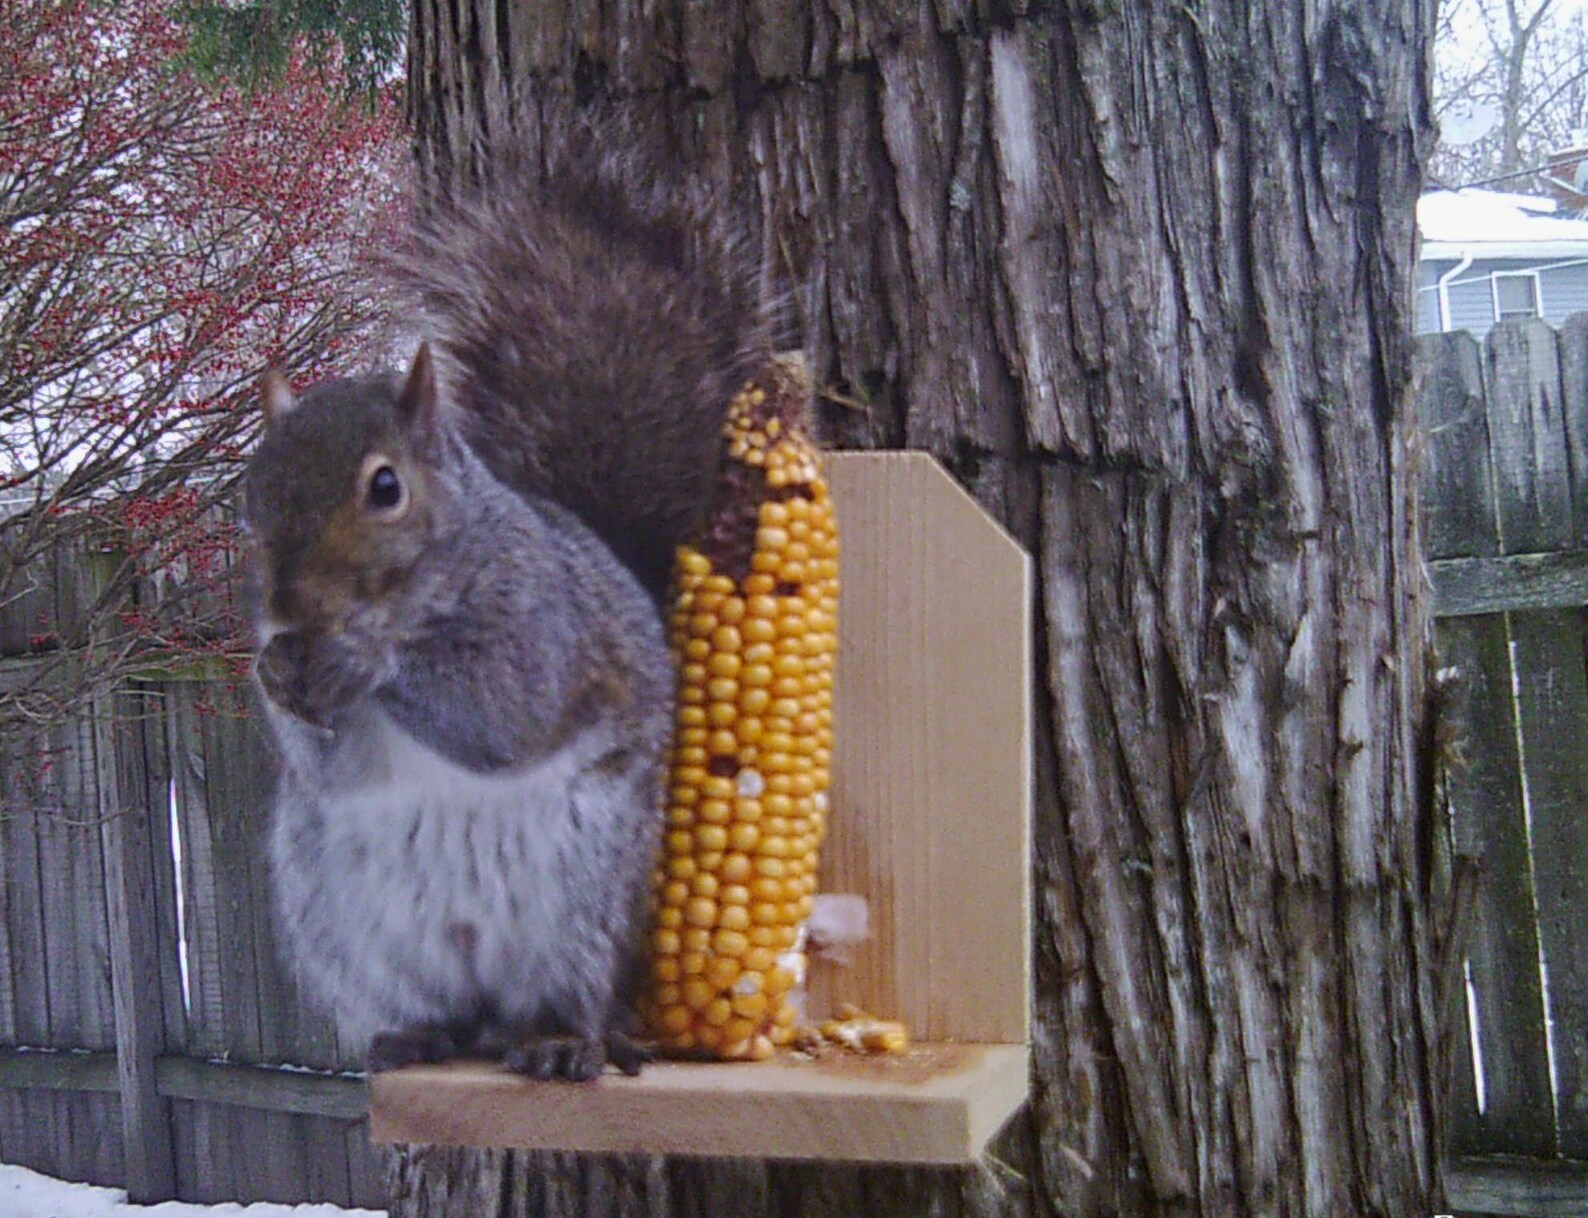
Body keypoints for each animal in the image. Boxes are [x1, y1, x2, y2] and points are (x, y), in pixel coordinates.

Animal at [243, 138, 772, 1081]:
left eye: (386, 488)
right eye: (249, 497)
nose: (287, 608)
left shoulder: (543, 626)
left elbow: (507, 717)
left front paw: (364, 660)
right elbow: (328, 769)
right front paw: (274, 669)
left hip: (584, 903)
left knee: (560, 996)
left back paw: (564, 1040)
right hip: (350, 930)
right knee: (442, 1013)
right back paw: (417, 1035)